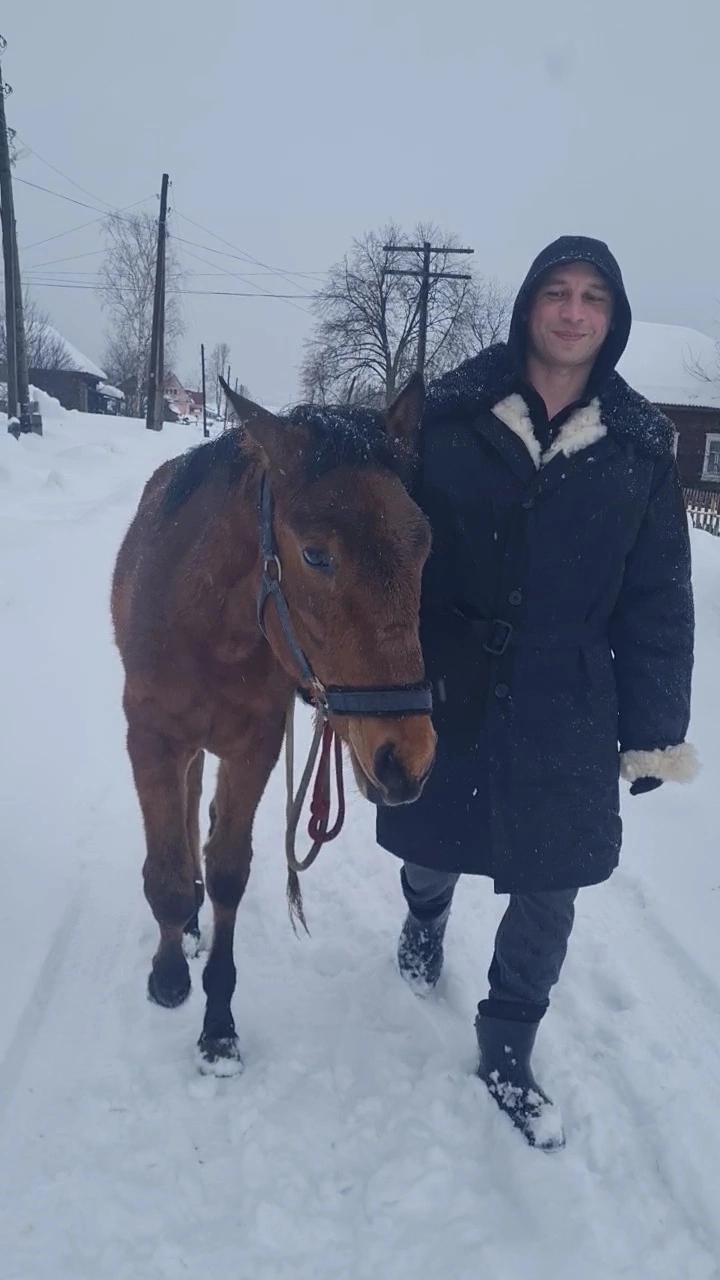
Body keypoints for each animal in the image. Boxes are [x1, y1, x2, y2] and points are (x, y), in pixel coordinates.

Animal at [112, 376, 435, 1070]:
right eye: (315, 555)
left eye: (425, 544)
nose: (409, 757)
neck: (211, 628)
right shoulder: (152, 739)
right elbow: (167, 876)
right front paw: (168, 975)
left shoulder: (253, 745)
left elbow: (229, 871)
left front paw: (219, 1025)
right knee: (185, 813)